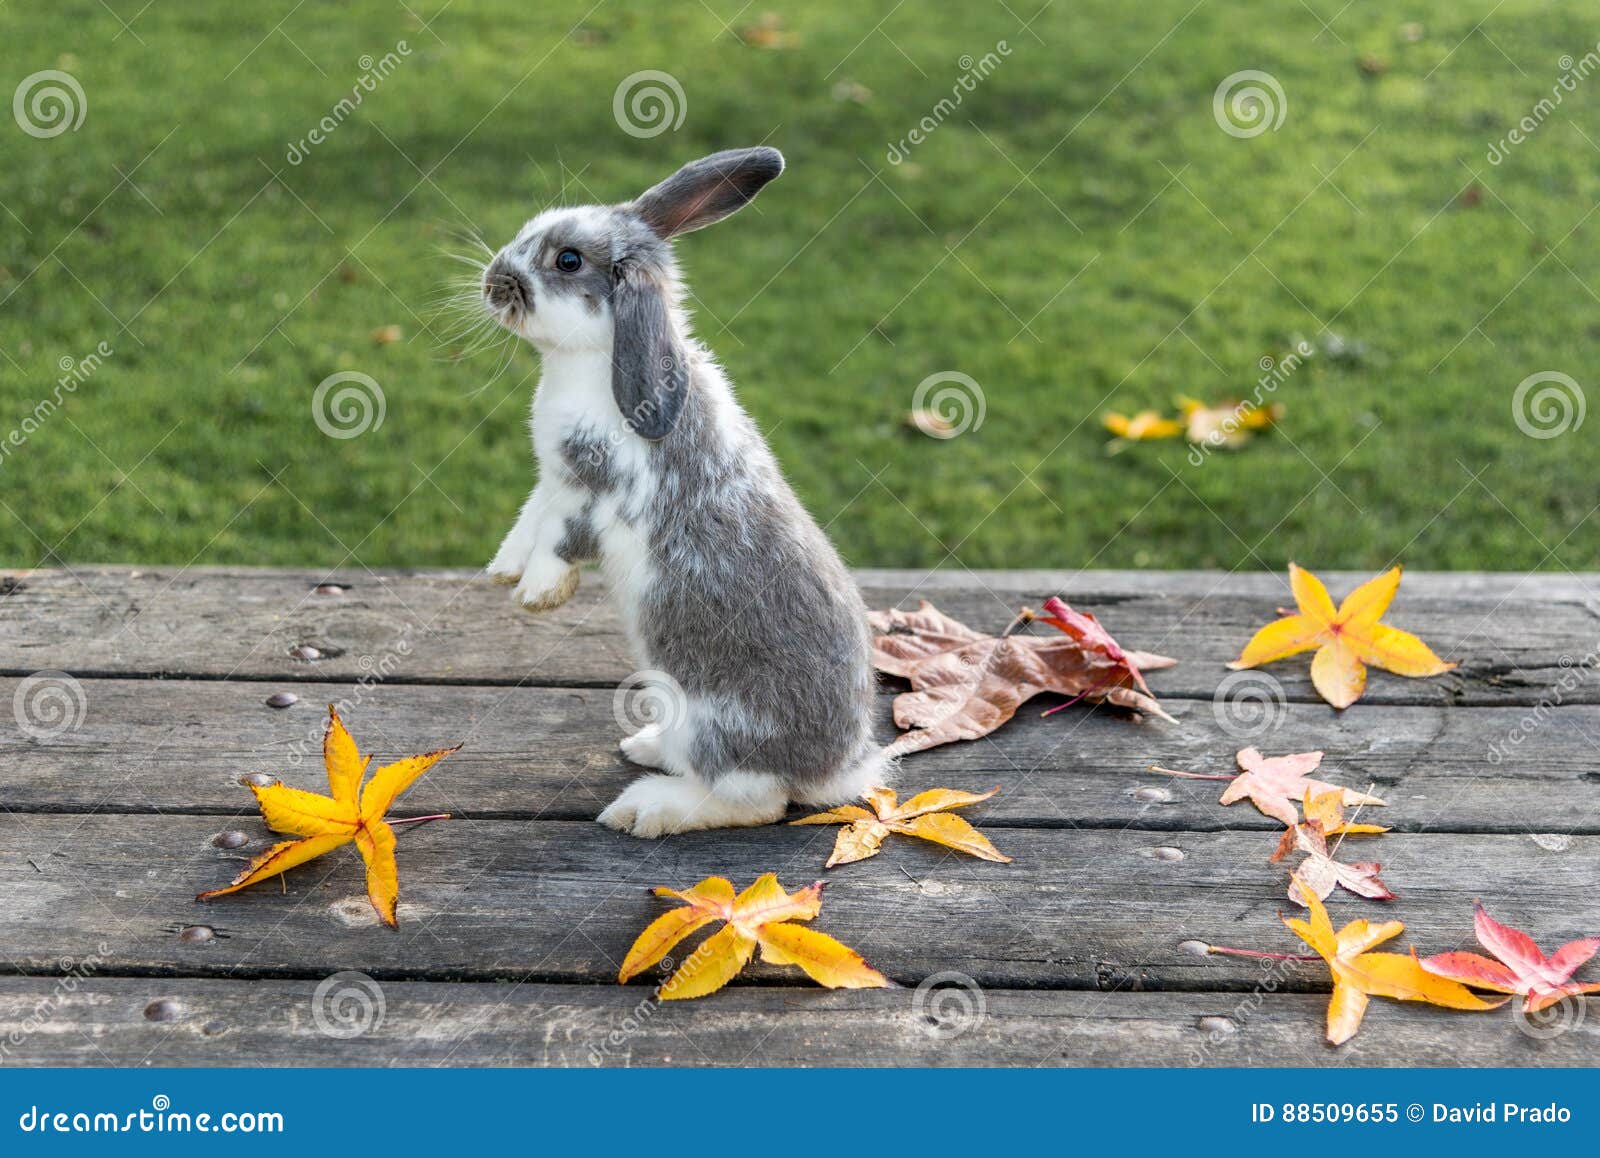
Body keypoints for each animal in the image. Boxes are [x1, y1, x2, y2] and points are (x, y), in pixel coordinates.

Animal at [480, 147, 886, 837]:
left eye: (568, 261)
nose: (492, 283)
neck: (596, 360)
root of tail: (834, 769)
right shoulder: (551, 479)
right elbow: (527, 520)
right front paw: (505, 572)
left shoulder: (590, 490)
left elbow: (559, 541)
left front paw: (536, 596)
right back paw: (646, 746)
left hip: (715, 725)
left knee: (757, 801)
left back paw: (648, 807)